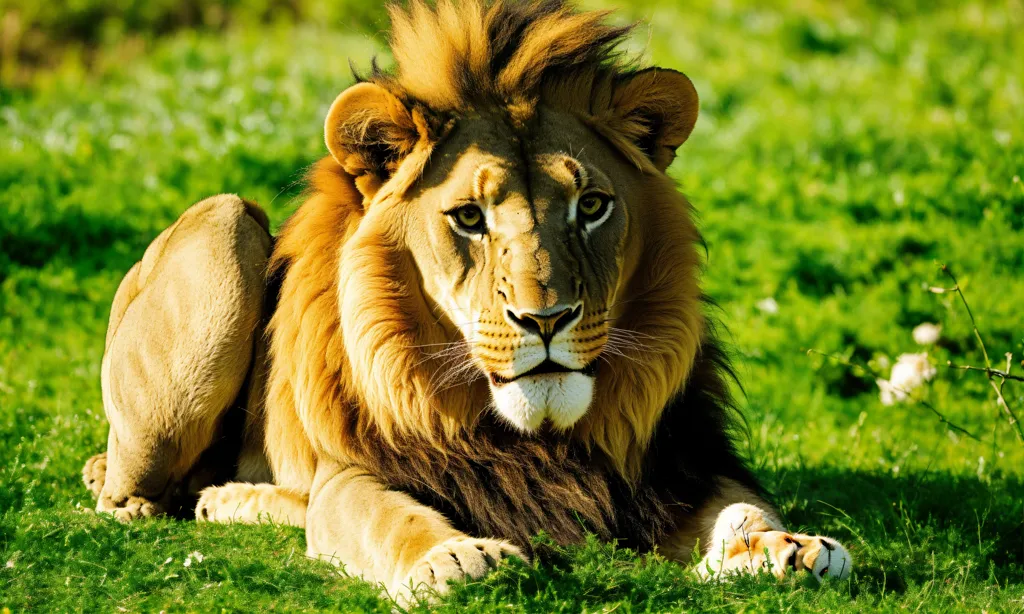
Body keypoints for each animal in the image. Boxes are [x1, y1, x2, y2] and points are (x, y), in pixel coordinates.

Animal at [81, 0, 851, 599]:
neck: (534, 439)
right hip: (224, 225)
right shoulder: (358, 470)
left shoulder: (683, 466)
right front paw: (452, 558)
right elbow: (384, 517)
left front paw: (788, 548)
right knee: (136, 490)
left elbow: (745, 510)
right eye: (469, 217)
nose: (546, 320)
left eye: (592, 206)